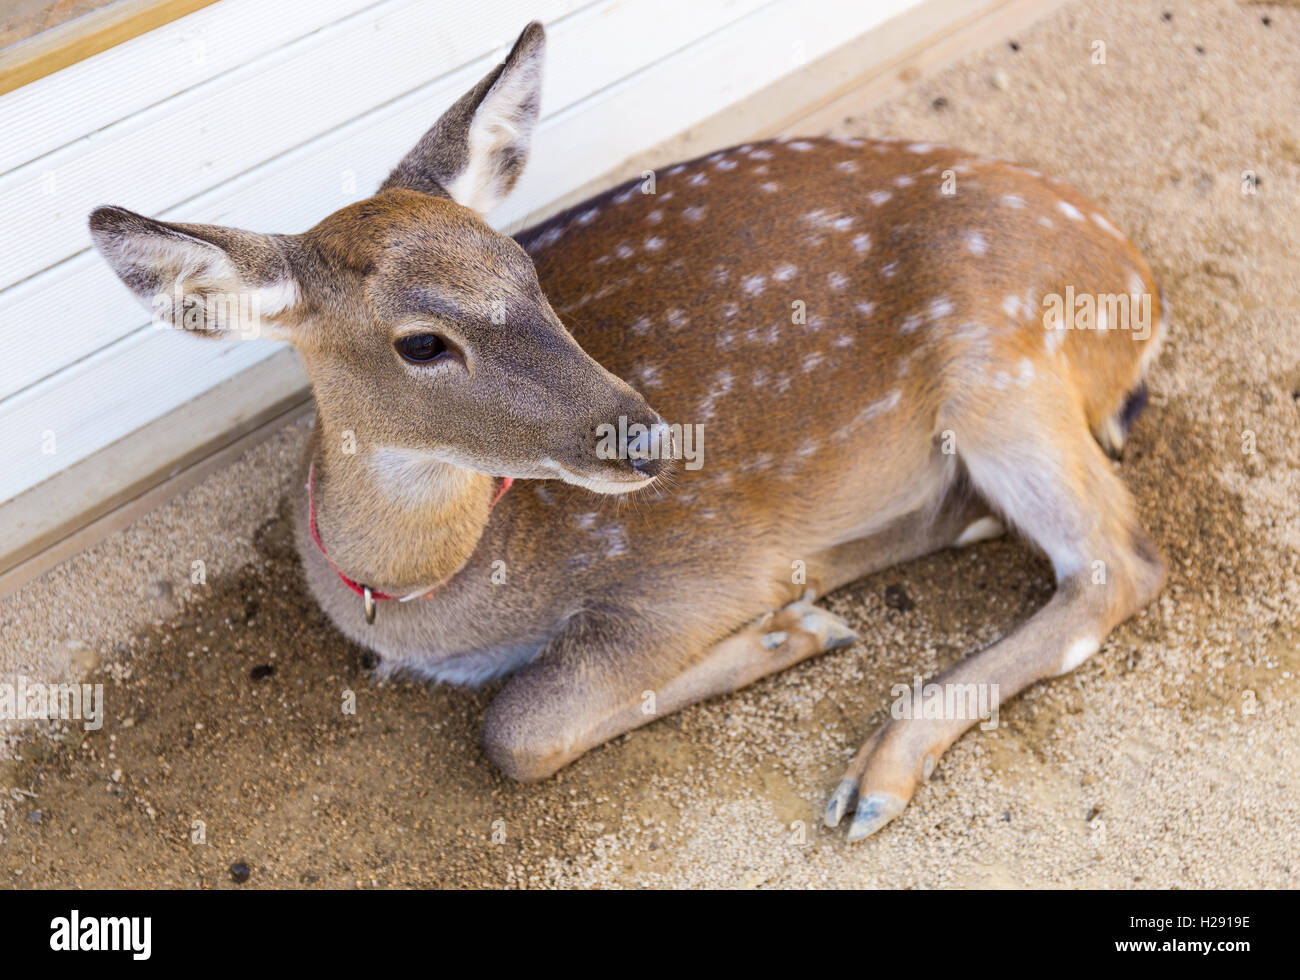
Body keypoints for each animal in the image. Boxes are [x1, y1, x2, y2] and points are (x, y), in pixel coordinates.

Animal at [88, 21, 1166, 840]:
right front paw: (801, 619)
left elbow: (519, 724)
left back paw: (874, 774)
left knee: (1117, 560)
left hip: (1001, 355)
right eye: (422, 342)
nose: (647, 438)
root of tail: (1137, 284)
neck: (433, 597)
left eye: (525, 270)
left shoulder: (699, 568)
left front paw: (790, 627)